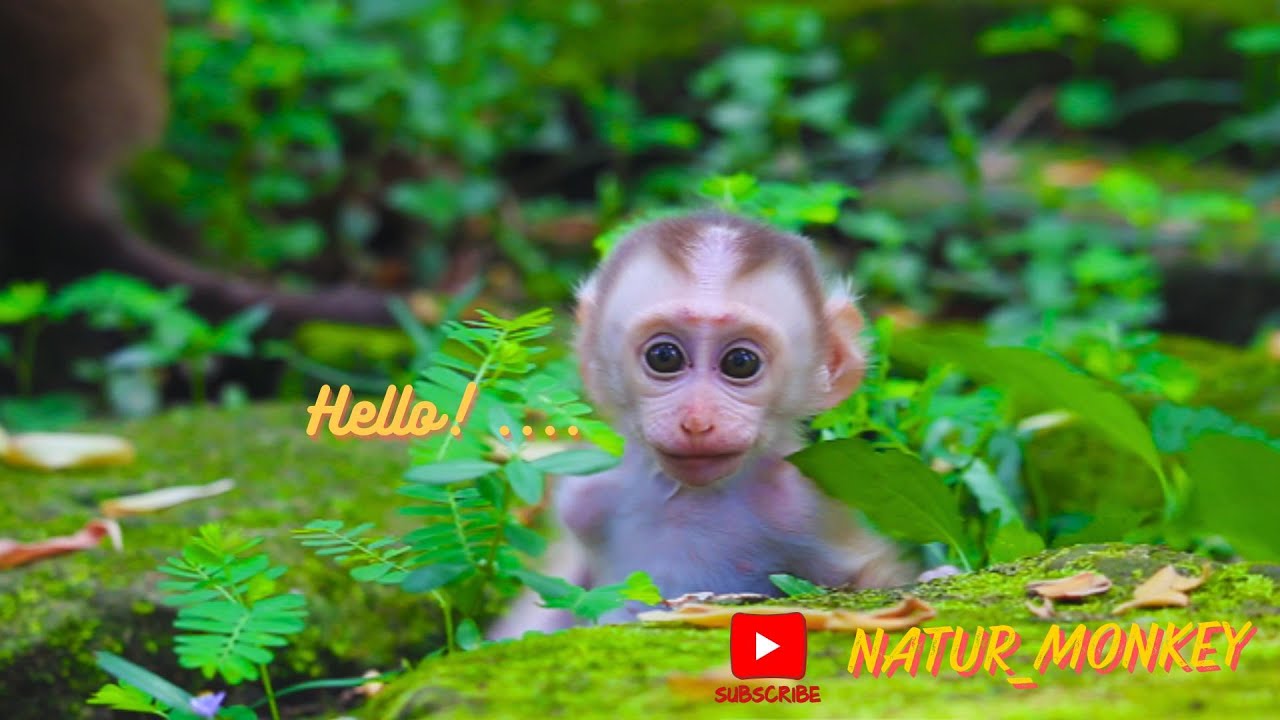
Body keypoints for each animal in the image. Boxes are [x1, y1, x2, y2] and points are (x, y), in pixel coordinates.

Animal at [488, 211, 922, 637]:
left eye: (740, 362)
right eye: (664, 356)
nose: (697, 422)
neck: (686, 496)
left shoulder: (801, 502)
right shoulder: (584, 497)